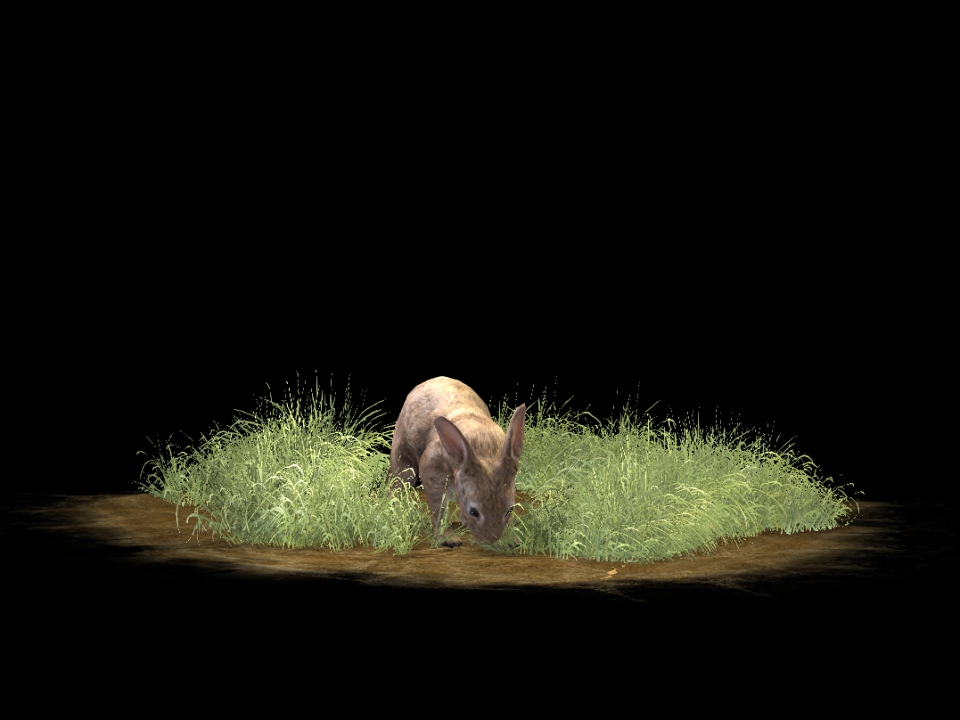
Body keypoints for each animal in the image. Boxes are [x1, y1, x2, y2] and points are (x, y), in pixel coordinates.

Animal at [389, 377, 525, 548]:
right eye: (473, 512)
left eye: (510, 510)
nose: (490, 541)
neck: (485, 451)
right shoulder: (431, 467)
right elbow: (438, 507)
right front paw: (448, 539)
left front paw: (511, 539)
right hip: (402, 449)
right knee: (399, 481)